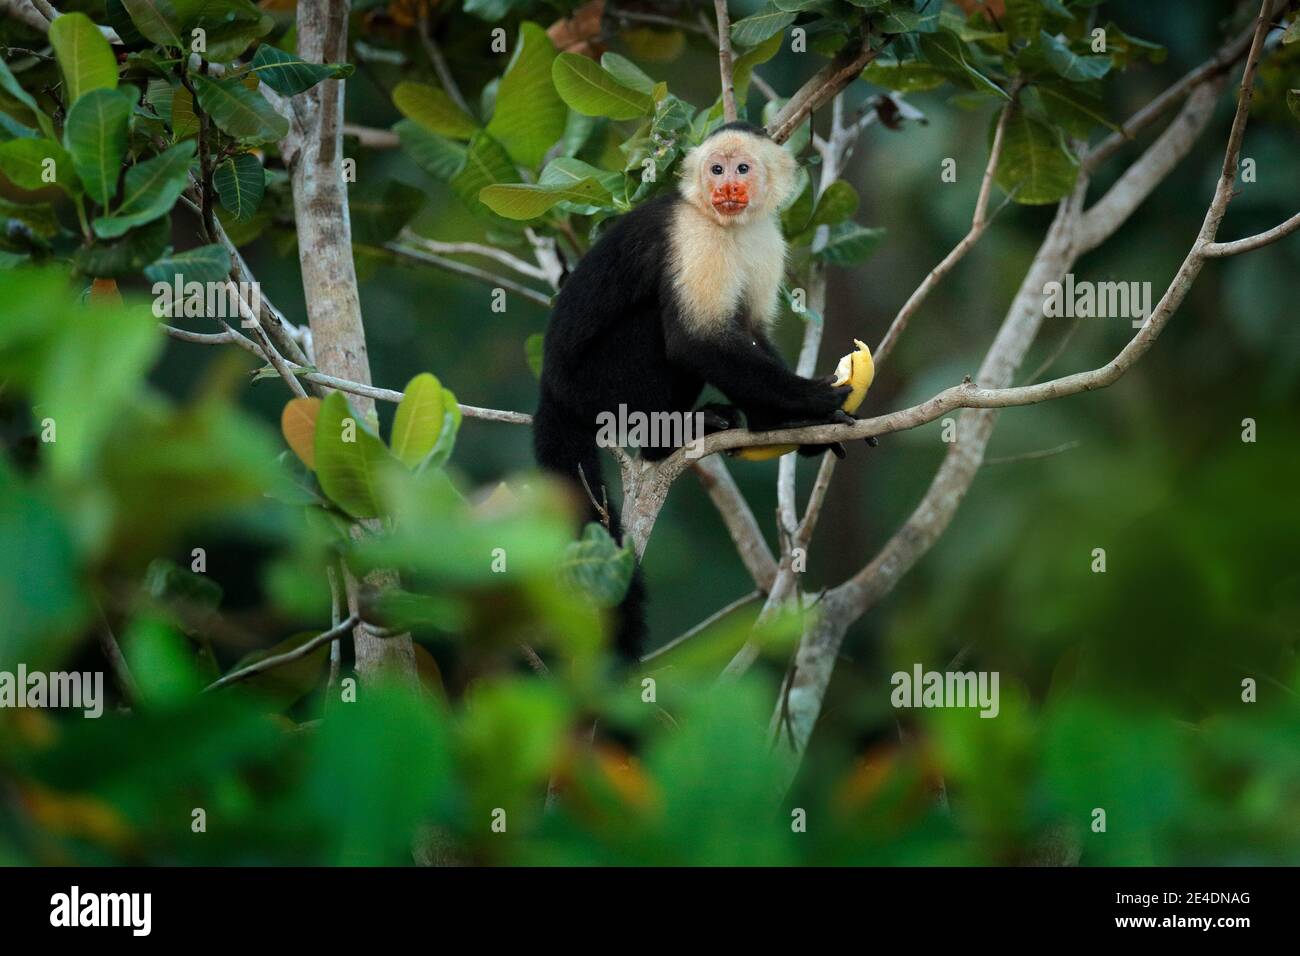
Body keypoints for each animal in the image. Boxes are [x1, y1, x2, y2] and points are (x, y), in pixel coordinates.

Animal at [533, 121, 855, 659]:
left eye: (742, 168)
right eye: (716, 169)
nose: (727, 187)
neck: (727, 224)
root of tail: (550, 386)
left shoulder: (767, 239)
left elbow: (749, 331)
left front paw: (792, 421)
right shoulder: (695, 237)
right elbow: (696, 342)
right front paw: (811, 401)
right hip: (593, 382)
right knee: (655, 326)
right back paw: (664, 439)